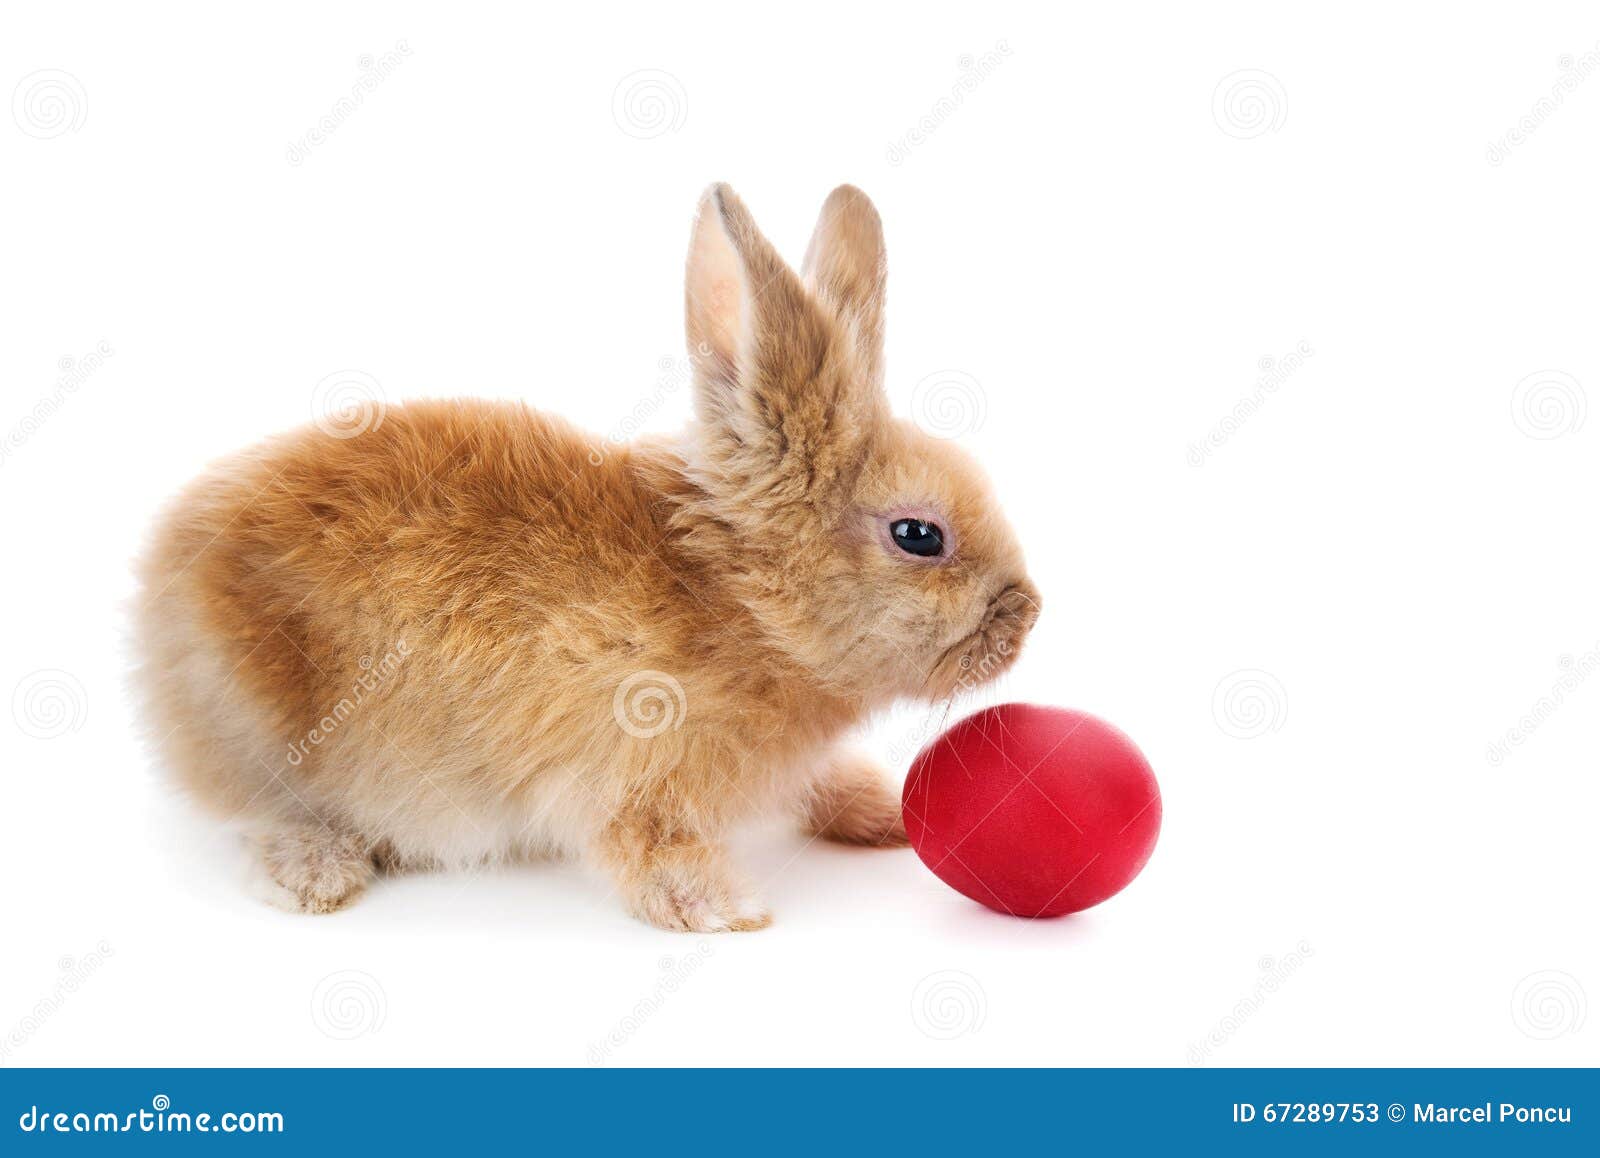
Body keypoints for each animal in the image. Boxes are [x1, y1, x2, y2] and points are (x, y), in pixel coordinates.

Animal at [133, 183, 1041, 931]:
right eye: (918, 536)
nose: (1026, 615)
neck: (745, 606)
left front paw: (881, 813)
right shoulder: (631, 767)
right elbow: (645, 843)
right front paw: (723, 910)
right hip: (257, 724)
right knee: (262, 813)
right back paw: (319, 874)